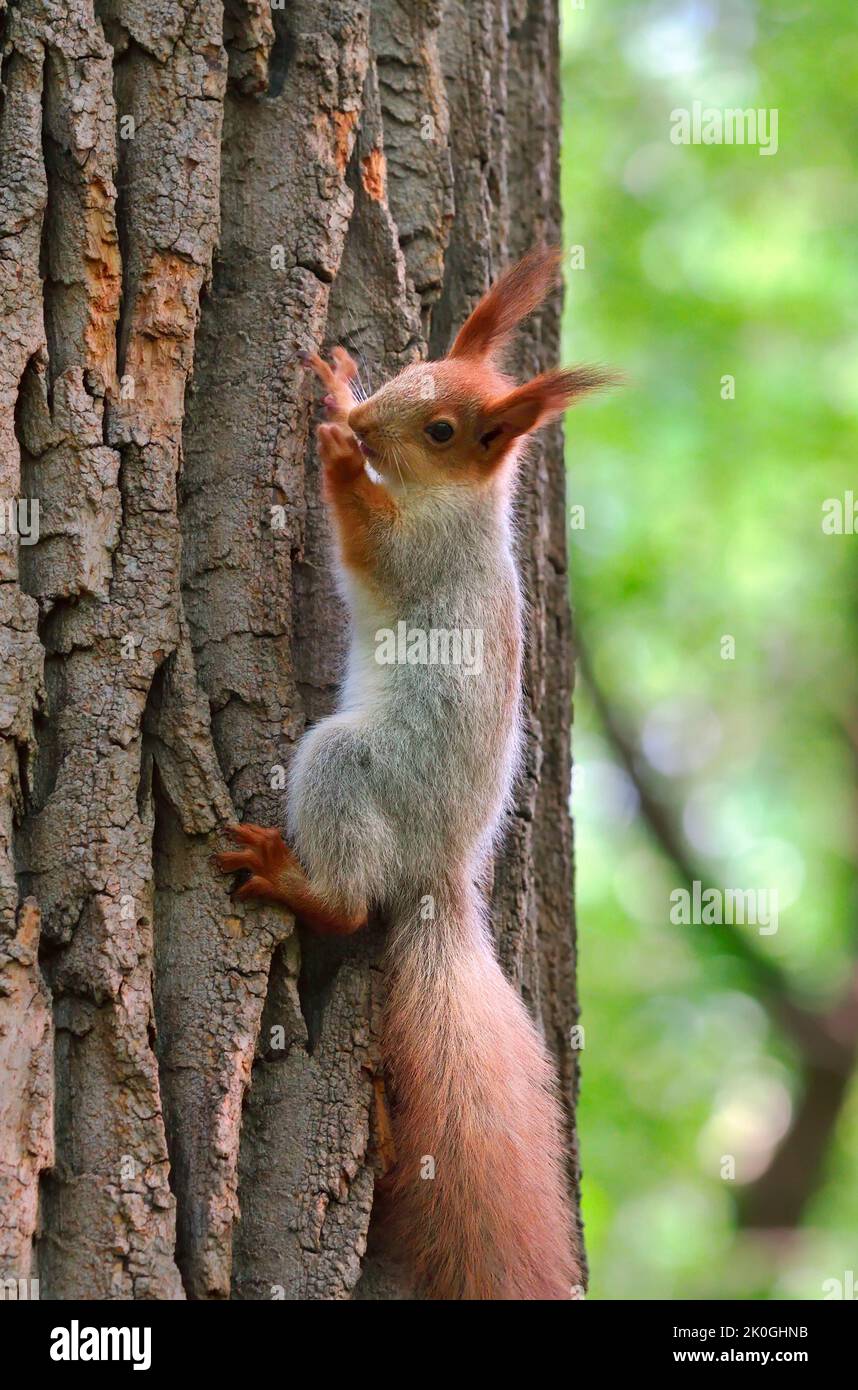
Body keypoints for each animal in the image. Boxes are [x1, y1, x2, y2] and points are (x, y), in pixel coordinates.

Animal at [216, 247, 614, 1300]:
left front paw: (338, 460)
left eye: (443, 431)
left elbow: (372, 542)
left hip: (349, 767)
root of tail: (440, 871)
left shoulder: (421, 554)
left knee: (352, 903)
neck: (460, 500)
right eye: (412, 373)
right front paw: (337, 389)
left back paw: (291, 878)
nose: (364, 428)